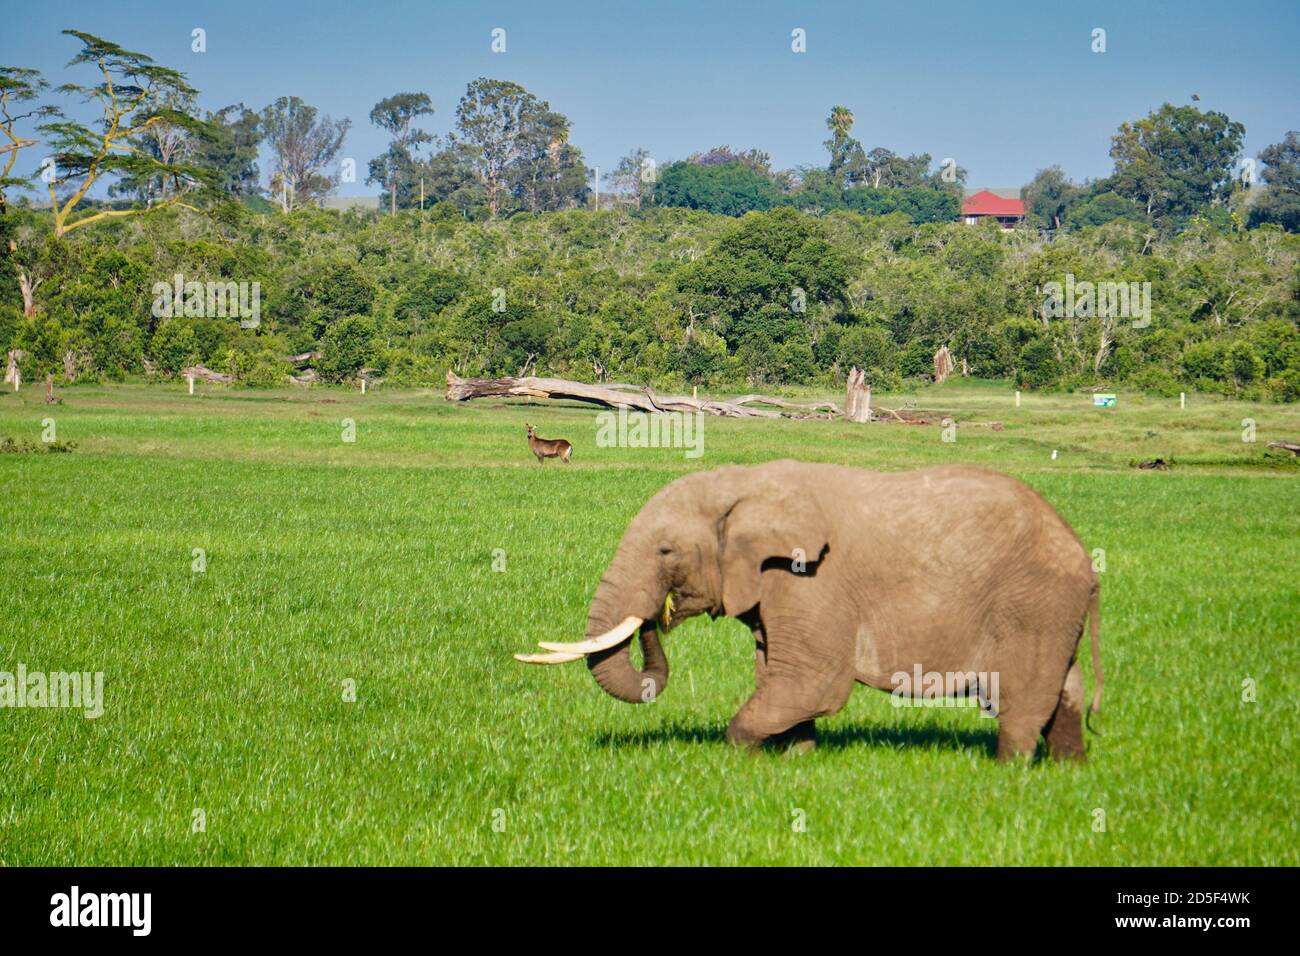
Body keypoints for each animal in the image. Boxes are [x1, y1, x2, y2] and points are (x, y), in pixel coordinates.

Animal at [516, 460, 1103, 761]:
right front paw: (798, 762)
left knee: (1025, 696)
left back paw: (1008, 771)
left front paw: (740, 758)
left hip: (1033, 604)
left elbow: (813, 680)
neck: (744, 484)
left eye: (665, 553)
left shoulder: (811, 580)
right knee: (1066, 689)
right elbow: (776, 672)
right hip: (1055, 610)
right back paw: (1068, 771)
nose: (659, 614)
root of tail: (1085, 559)